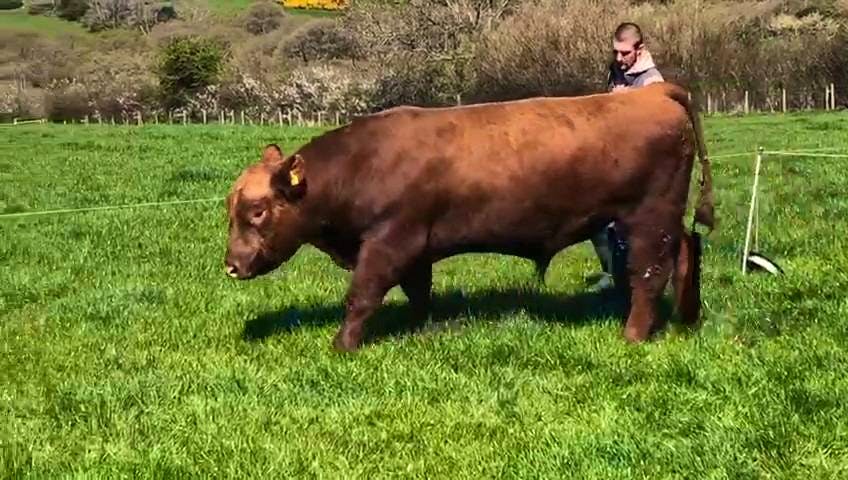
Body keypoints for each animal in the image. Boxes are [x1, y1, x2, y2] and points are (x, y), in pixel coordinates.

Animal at [224, 82, 715, 352]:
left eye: (257, 210)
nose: (231, 265)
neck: (364, 162)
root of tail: (655, 92)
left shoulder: (389, 242)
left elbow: (361, 296)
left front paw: (342, 346)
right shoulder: (416, 248)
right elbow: (419, 293)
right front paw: (420, 328)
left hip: (647, 219)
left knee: (649, 274)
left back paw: (633, 335)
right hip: (663, 220)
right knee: (685, 252)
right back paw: (683, 319)